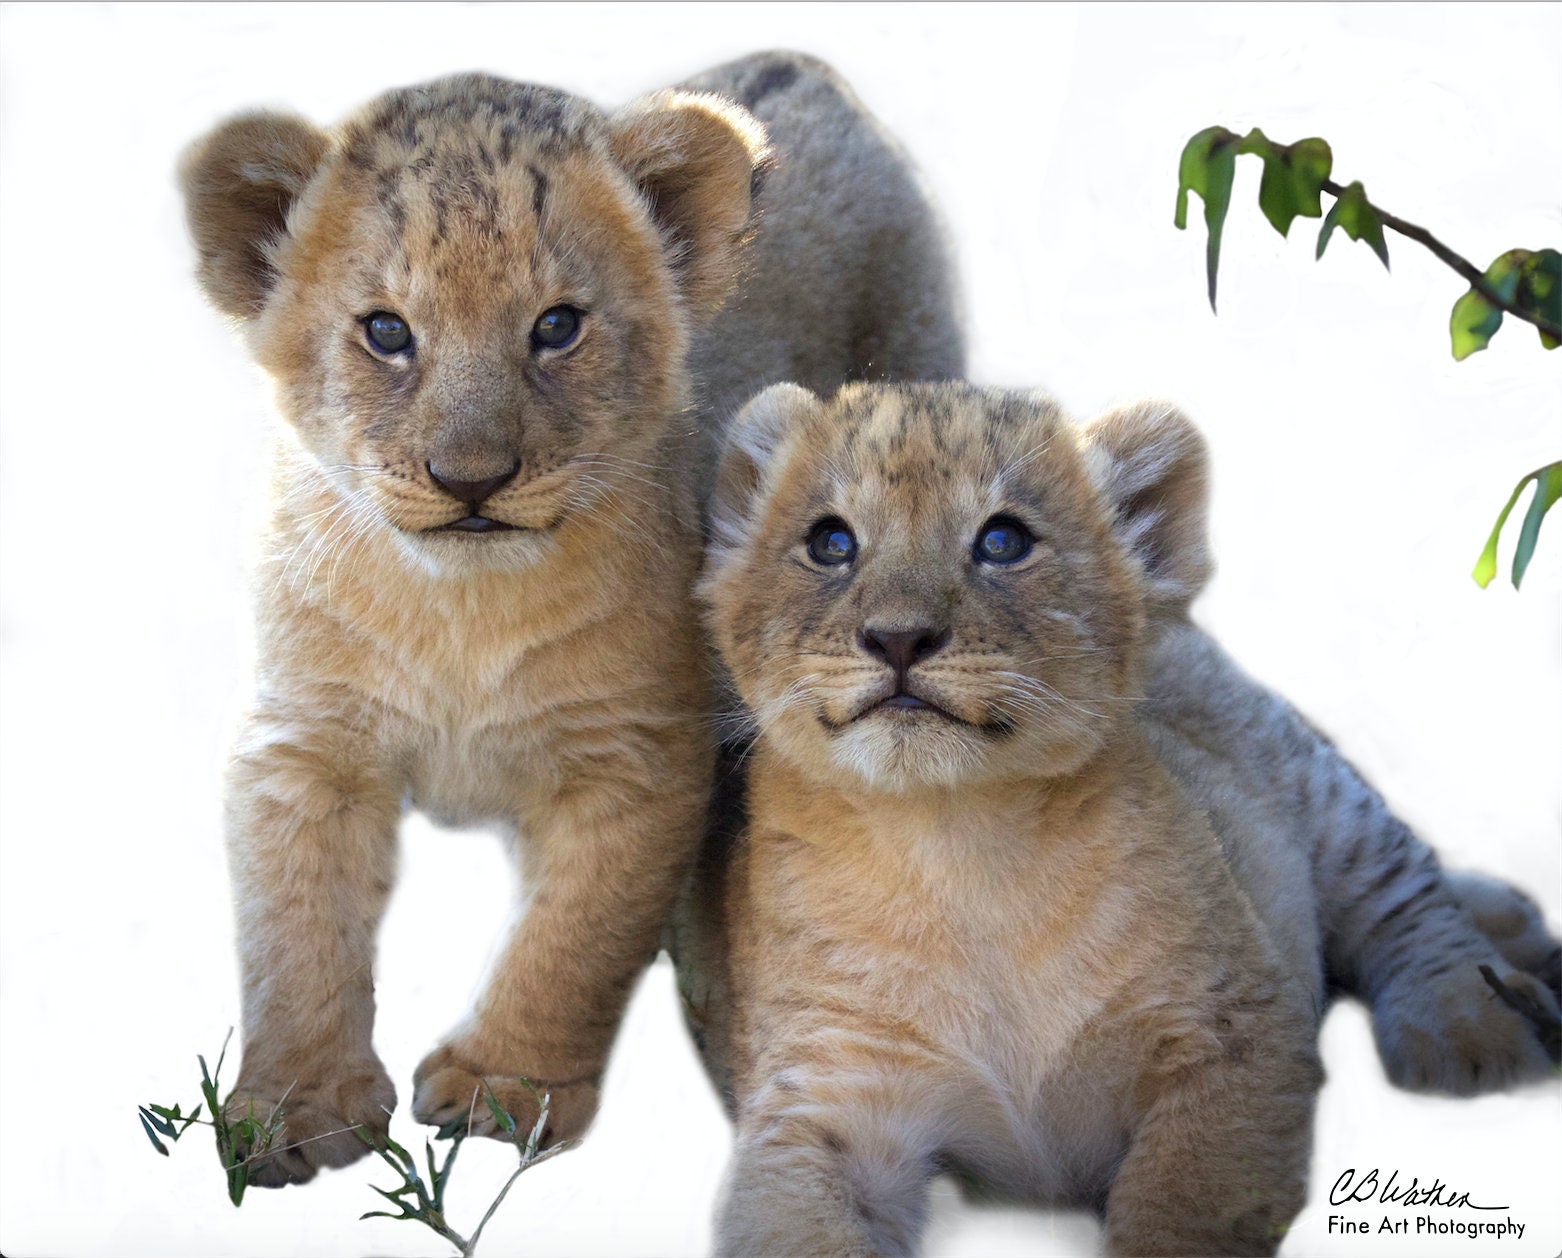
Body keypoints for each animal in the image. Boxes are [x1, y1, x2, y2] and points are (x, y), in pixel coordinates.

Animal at [177, 52, 961, 1186]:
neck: (460, 605)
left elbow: (572, 940)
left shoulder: (637, 757)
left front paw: (505, 1091)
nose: (470, 480)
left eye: (555, 327)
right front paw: (289, 1111)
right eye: (386, 333)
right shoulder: (305, 743)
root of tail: (802, 65)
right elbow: (293, 936)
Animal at [680, 381, 1559, 1256]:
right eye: (830, 542)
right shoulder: (825, 1096)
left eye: (1003, 540)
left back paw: (1480, 1015)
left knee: (1404, 890)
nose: (898, 637)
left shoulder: (1234, 1041)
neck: (952, 842)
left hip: (1305, 779)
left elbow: (1178, 1216)